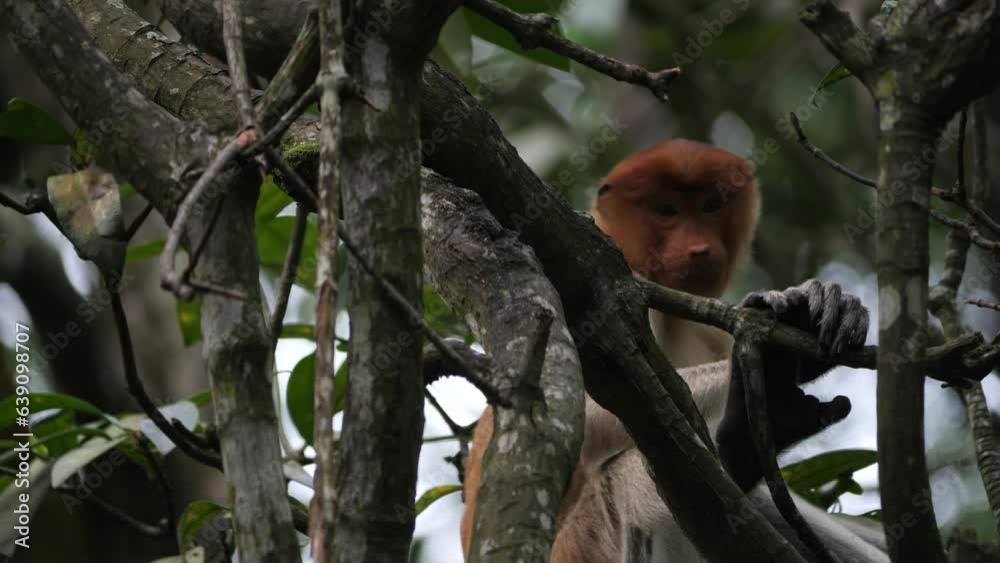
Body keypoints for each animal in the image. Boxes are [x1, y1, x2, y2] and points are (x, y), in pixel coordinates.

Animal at [461, 140, 887, 562]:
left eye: (711, 206)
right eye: (666, 210)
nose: (698, 248)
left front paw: (824, 307)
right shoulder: (610, 285)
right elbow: (584, 410)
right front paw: (788, 346)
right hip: (582, 546)